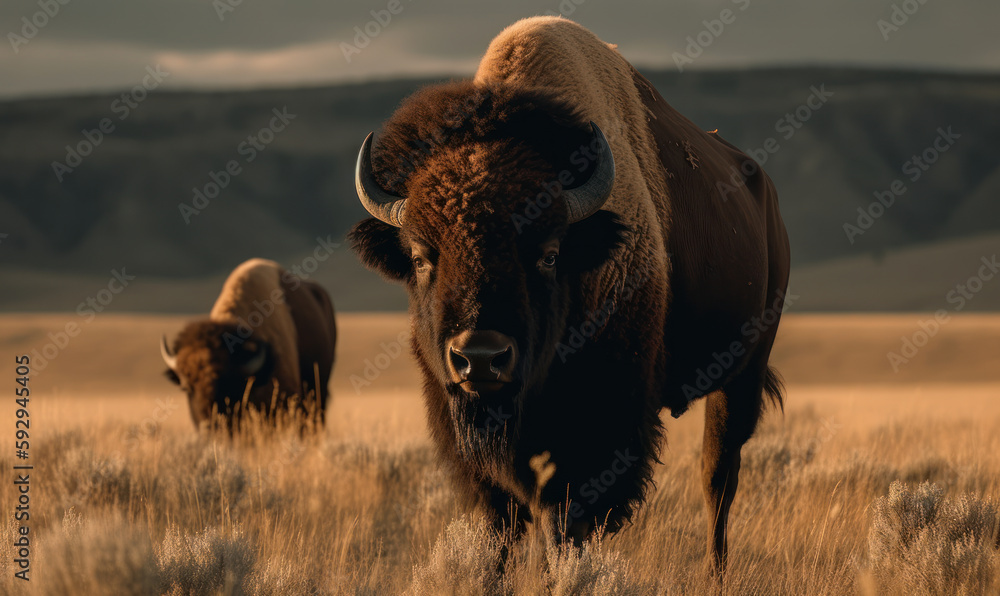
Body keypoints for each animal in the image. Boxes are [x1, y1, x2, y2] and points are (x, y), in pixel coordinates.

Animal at [349, 17, 789, 571]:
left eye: (549, 254)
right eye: (421, 256)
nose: (481, 358)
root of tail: (767, 200)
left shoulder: (596, 427)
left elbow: (564, 521)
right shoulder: (463, 431)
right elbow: (500, 525)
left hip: (743, 374)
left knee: (718, 478)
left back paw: (715, 573)